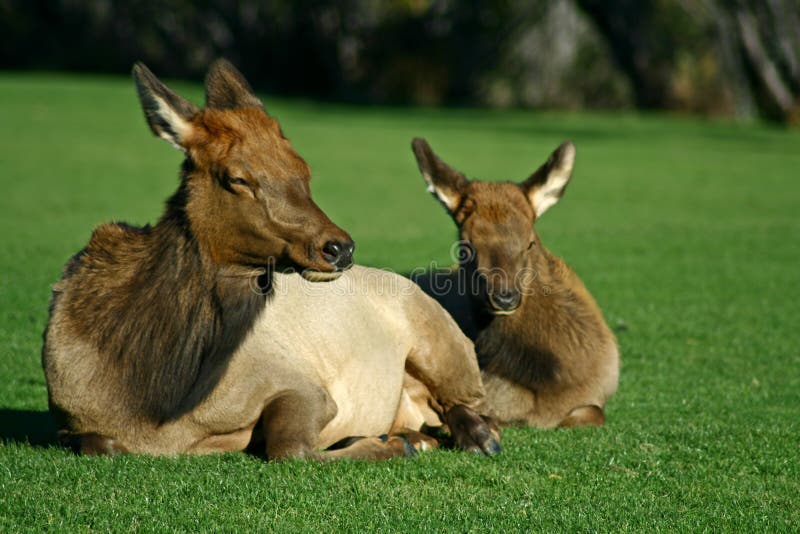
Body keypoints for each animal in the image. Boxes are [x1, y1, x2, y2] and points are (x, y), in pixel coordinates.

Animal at [40, 59, 500, 460]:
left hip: (443, 336)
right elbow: (100, 444)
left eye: (303, 169)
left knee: (473, 402)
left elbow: (289, 446)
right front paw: (388, 440)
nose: (339, 247)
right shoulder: (70, 422)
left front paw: (384, 445)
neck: (156, 404)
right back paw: (416, 436)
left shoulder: (299, 384)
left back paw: (475, 436)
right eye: (237, 178)